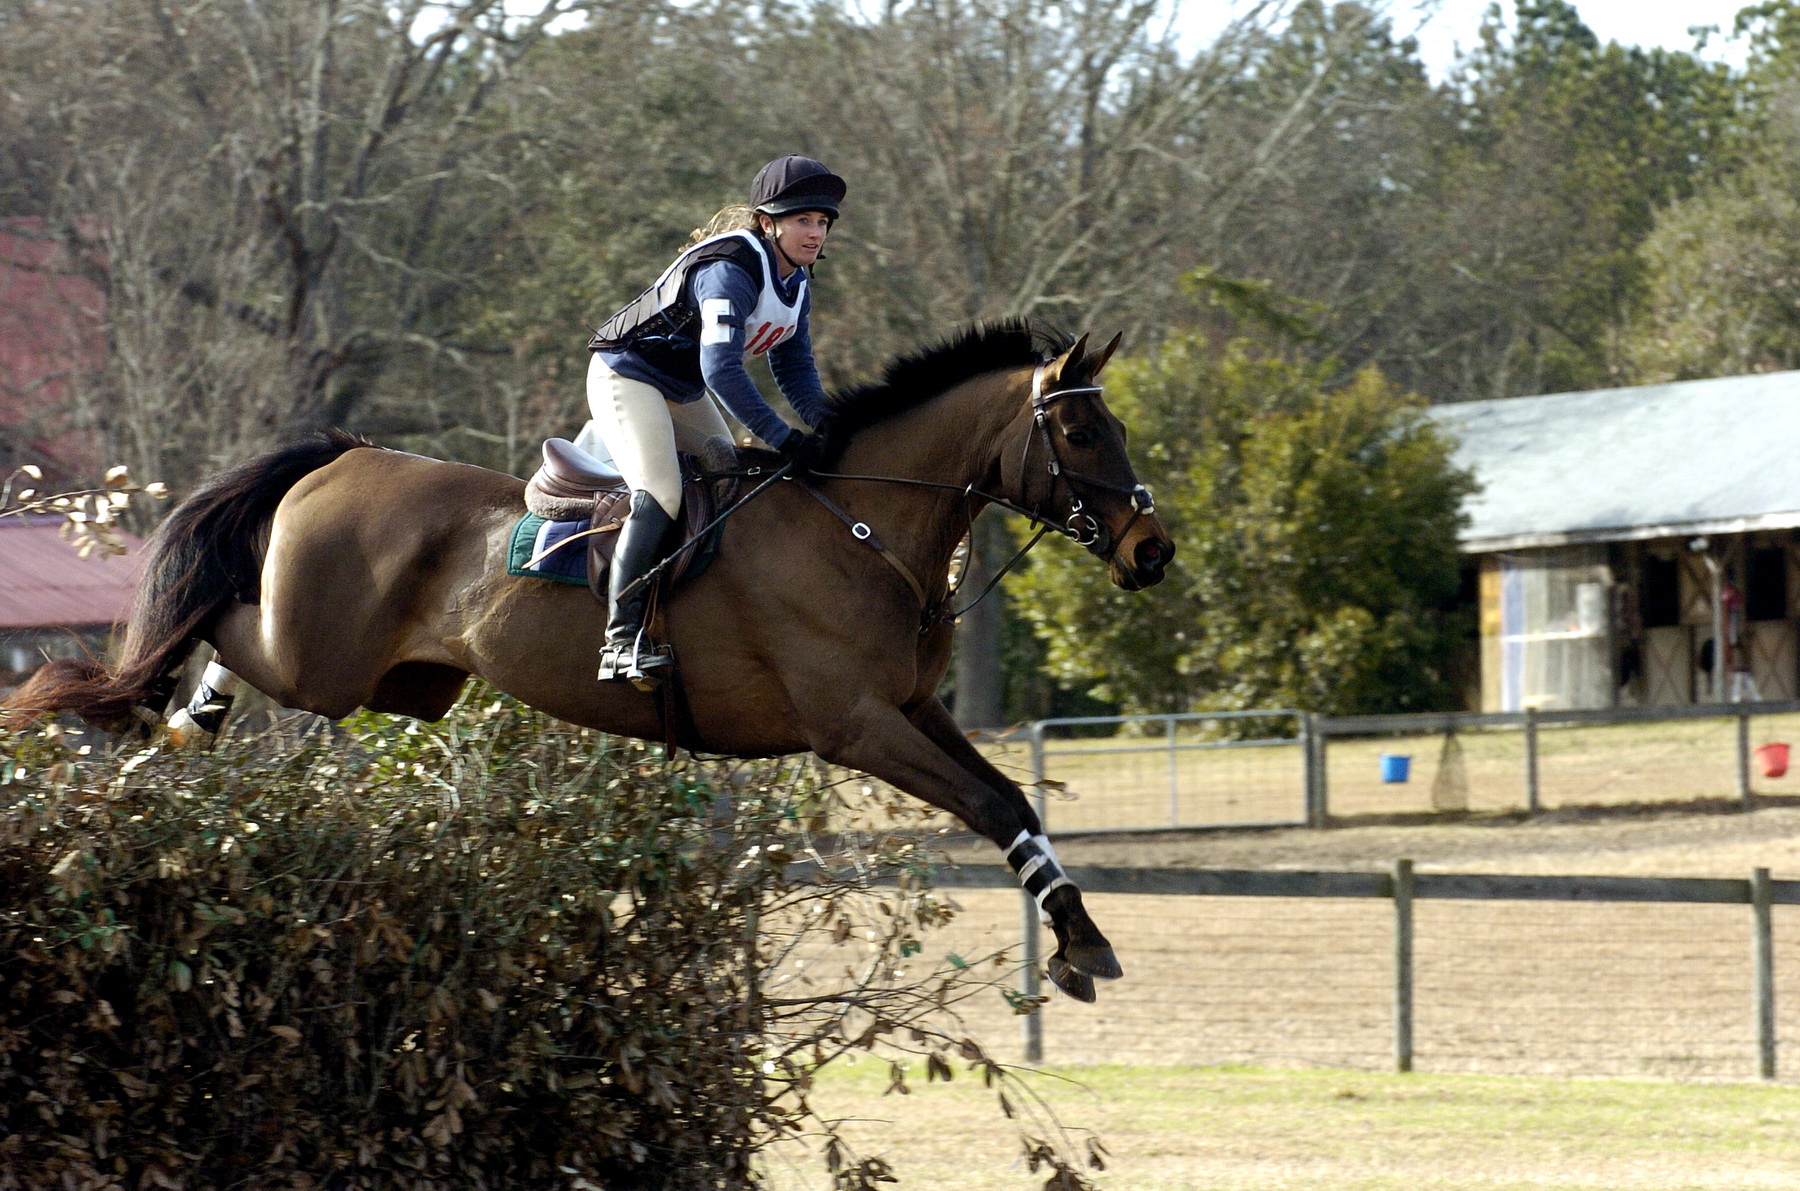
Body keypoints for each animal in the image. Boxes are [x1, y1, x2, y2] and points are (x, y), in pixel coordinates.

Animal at [10, 323, 1174, 1002]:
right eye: (1081, 432)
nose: (1150, 551)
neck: (861, 522)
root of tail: (342, 457)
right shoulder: (856, 726)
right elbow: (984, 807)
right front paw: (1079, 944)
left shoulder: (913, 709)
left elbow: (1012, 806)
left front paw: (1080, 942)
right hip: (320, 663)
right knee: (217, 620)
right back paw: (122, 710)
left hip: (396, 684)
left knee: (229, 640)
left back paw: (178, 734)